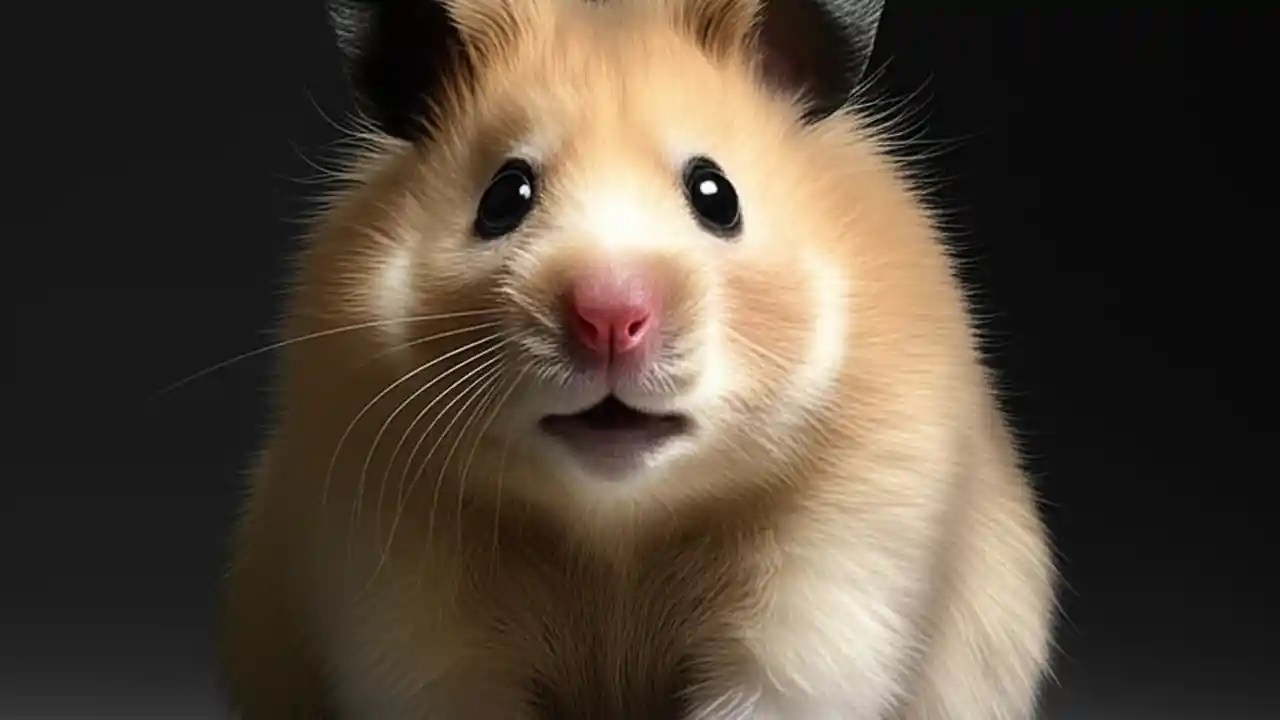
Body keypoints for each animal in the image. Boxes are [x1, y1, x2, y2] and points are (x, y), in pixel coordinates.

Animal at [217, 0, 1058, 718]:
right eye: (504, 197)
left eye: (717, 195)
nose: (609, 316)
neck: (617, 524)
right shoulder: (404, 599)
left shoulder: (824, 598)